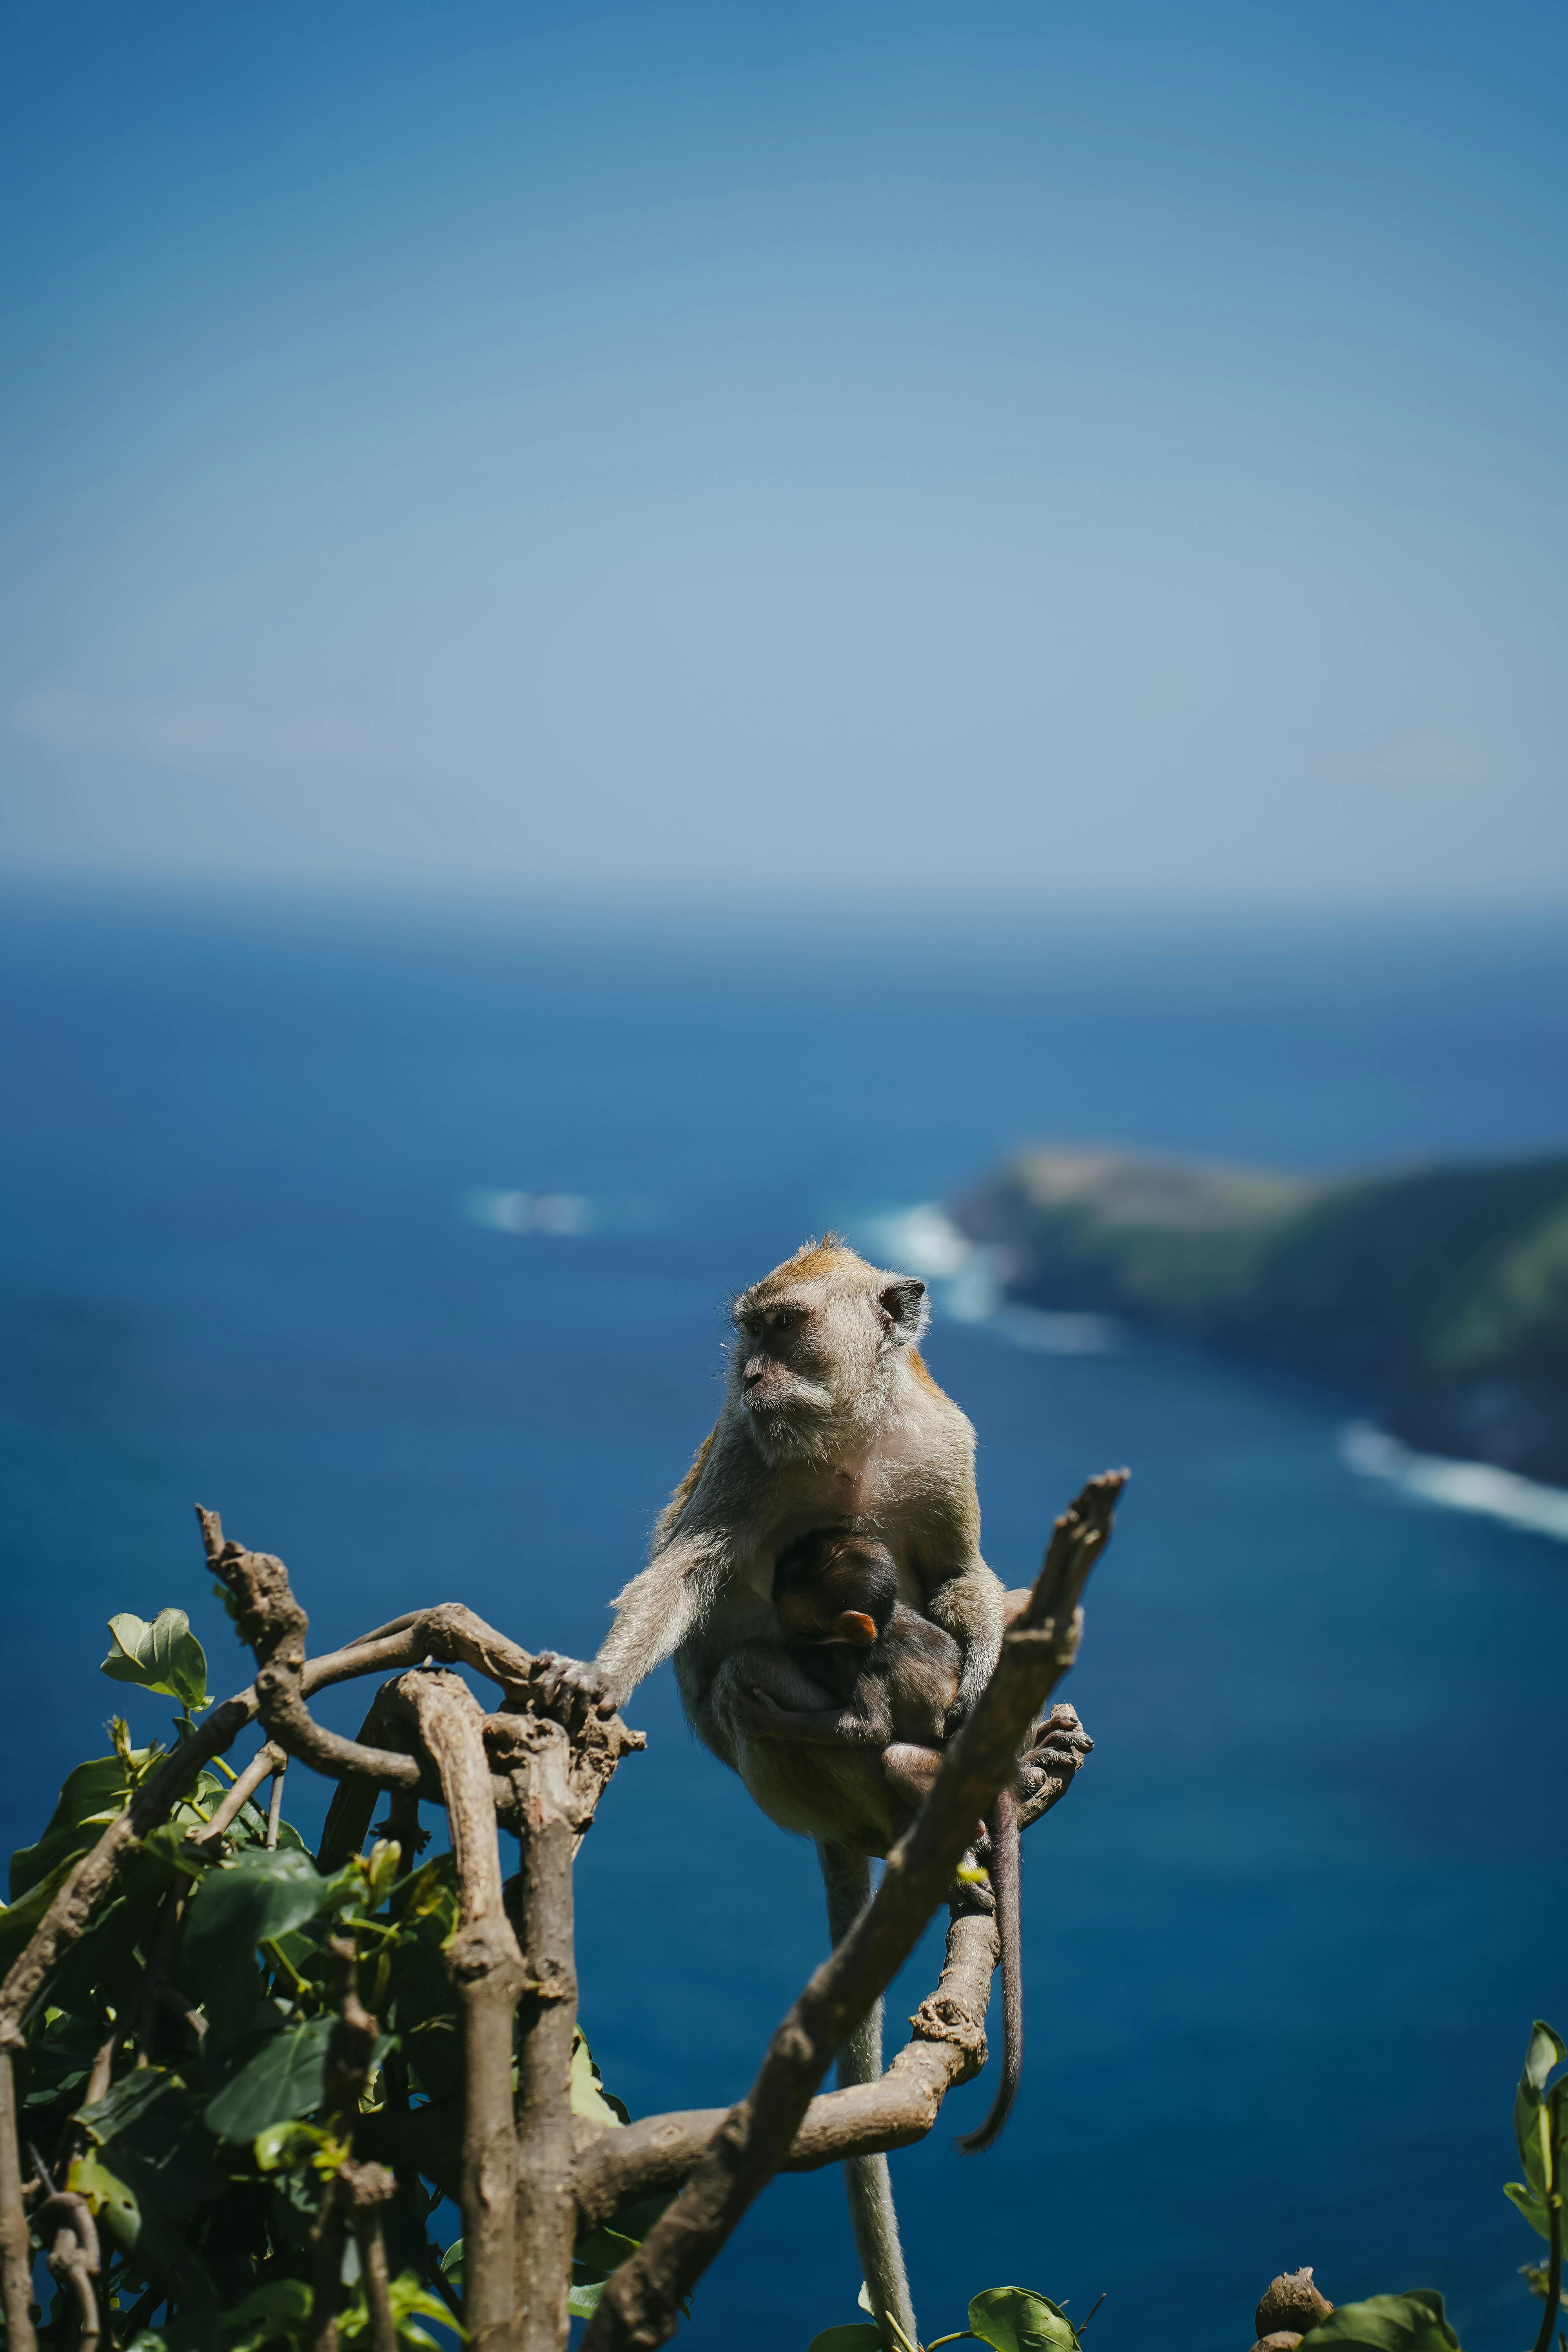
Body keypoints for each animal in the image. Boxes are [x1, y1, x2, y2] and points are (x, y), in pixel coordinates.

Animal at [722, 1526, 1023, 2154]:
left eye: (807, 1629)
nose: (789, 1642)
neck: (881, 1628)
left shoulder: (867, 1664)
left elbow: (868, 1729)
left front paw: (768, 1718)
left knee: (898, 1757)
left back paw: (972, 1830)